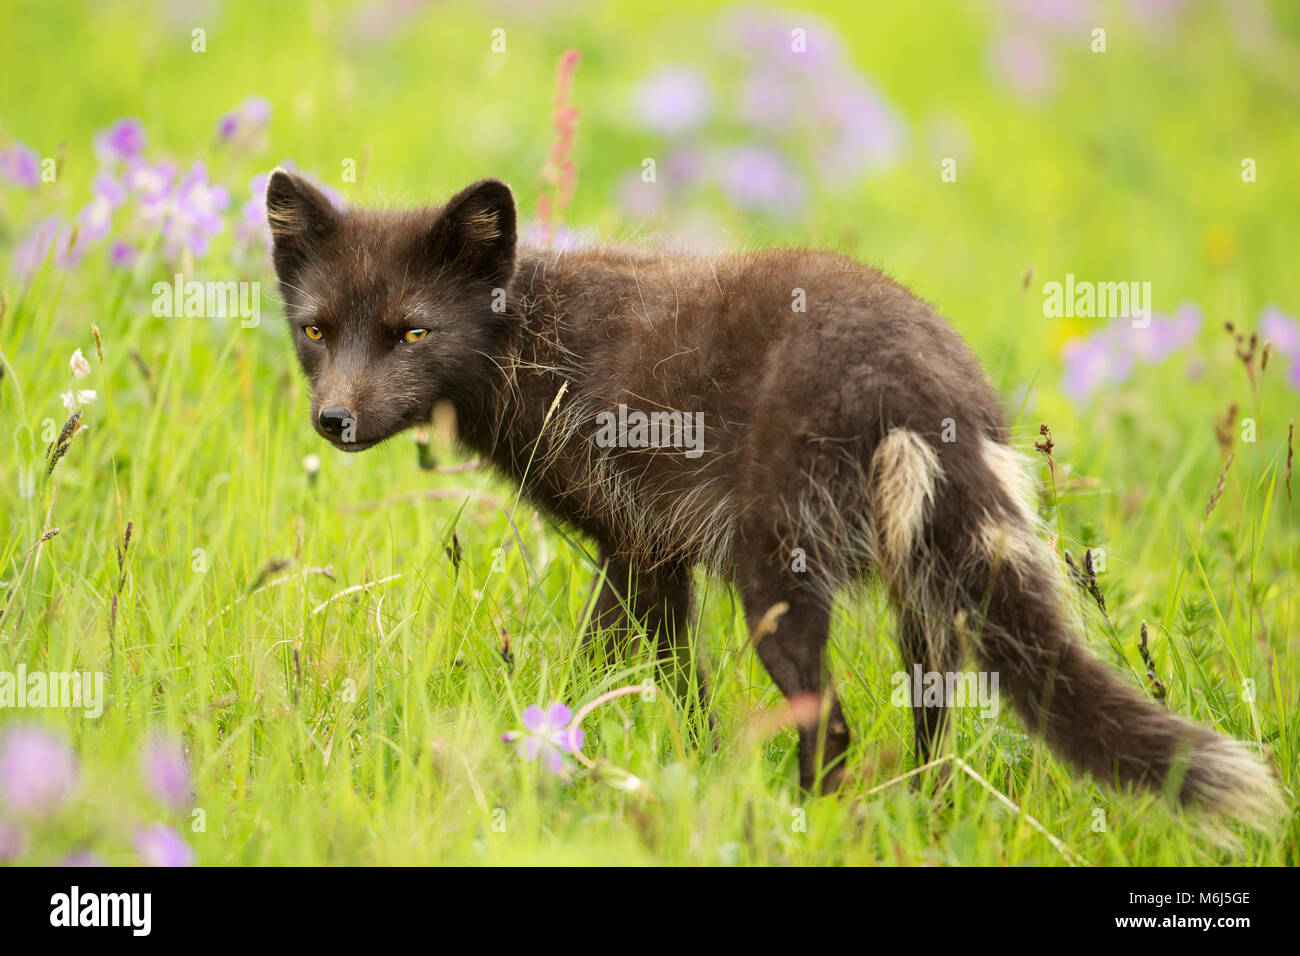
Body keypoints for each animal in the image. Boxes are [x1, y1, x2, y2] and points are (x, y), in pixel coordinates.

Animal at [266, 168, 1281, 829]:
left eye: (411, 332)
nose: (334, 420)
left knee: (832, 723)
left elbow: (651, 668)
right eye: (315, 330)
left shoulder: (640, 538)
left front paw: (641, 765)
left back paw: (814, 823)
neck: (538, 339)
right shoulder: (649, 546)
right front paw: (633, 756)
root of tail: (918, 380)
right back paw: (920, 819)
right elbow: (637, 669)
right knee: (936, 728)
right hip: (929, 587)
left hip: (779, 570)